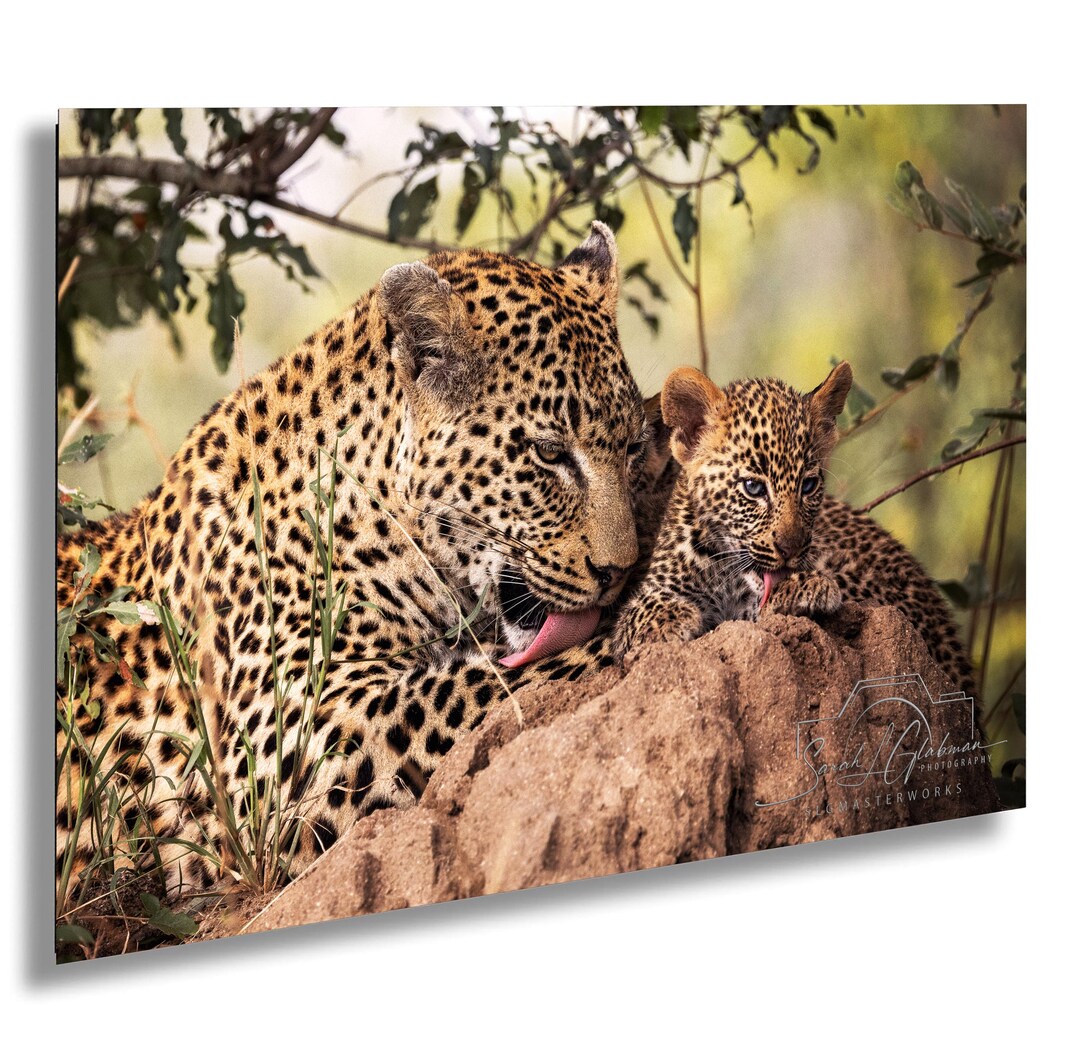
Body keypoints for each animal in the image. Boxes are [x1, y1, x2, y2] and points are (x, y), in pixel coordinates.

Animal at [56, 222, 652, 900]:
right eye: (549, 453)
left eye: (634, 446)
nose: (618, 572)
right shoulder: (296, 747)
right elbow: (487, 683)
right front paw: (639, 624)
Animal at [612, 362, 979, 705]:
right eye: (753, 487)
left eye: (809, 485)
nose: (791, 548)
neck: (727, 576)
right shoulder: (647, 597)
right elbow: (637, 613)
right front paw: (670, 616)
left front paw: (802, 588)